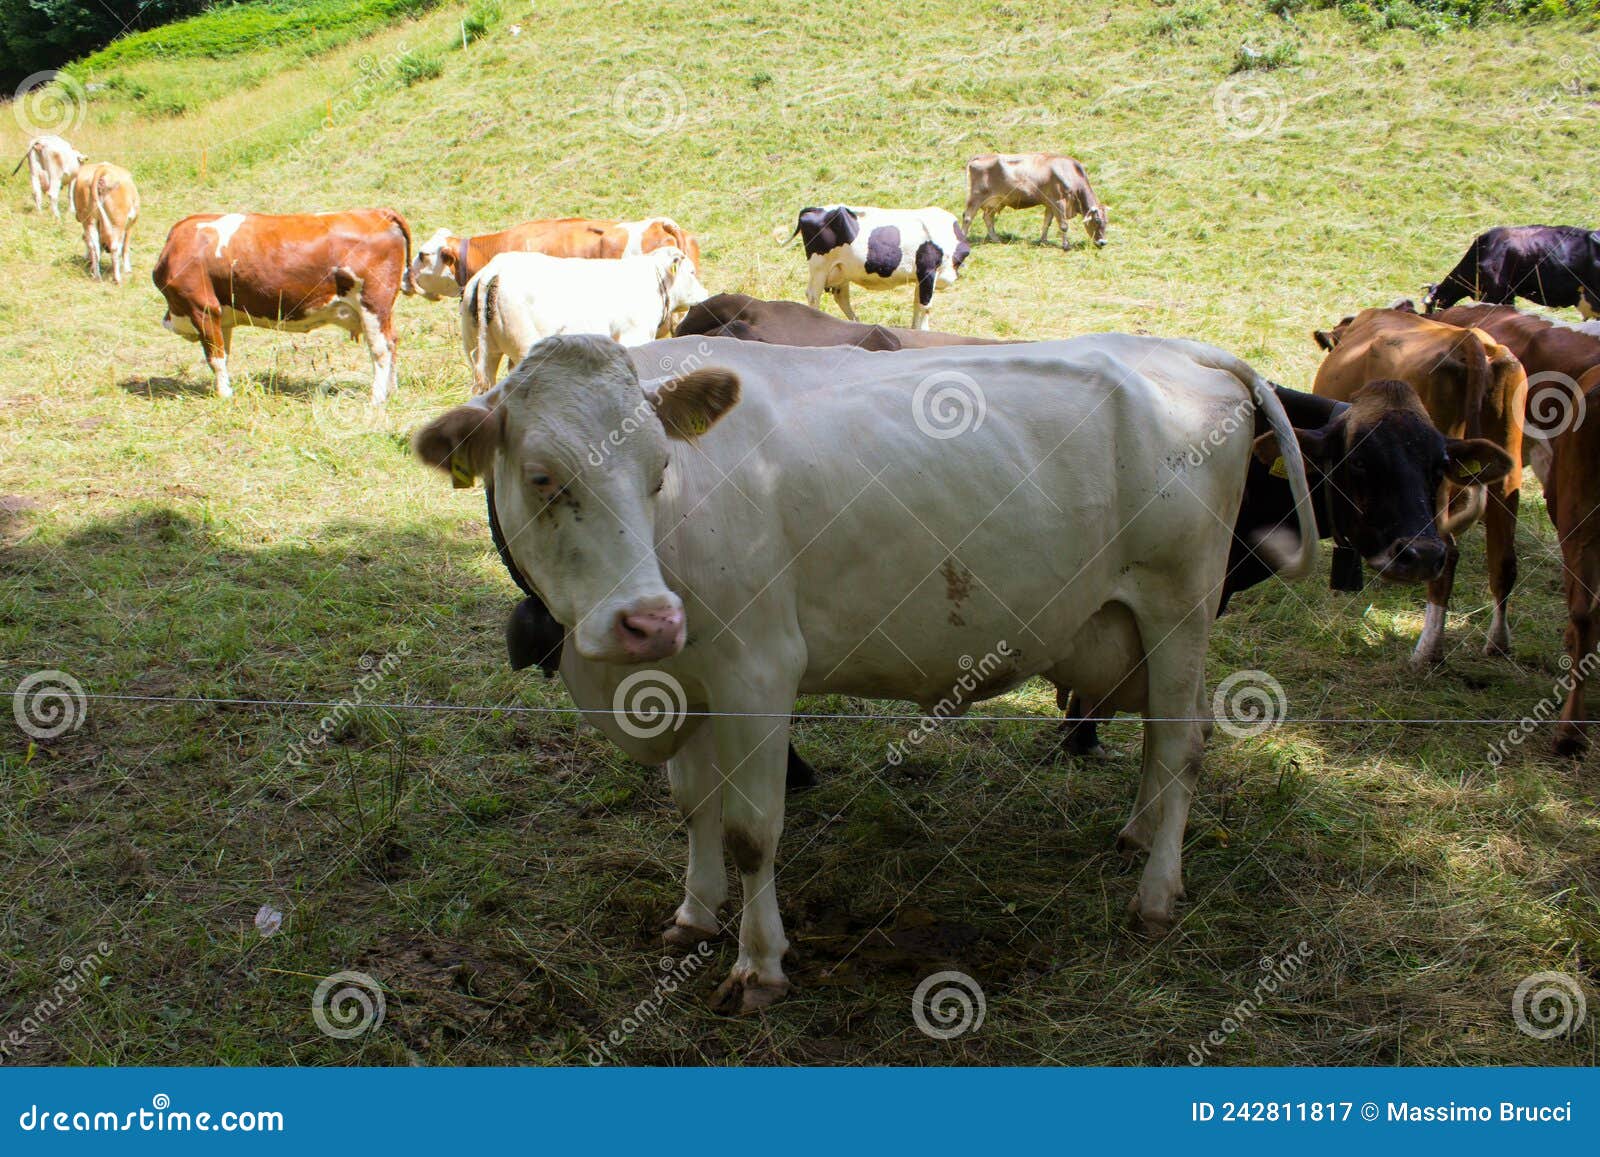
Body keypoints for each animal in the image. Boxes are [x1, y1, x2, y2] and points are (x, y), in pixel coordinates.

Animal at [151, 209, 412, 402]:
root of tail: (377, 212)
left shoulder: (203, 308)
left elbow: (215, 358)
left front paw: (224, 395)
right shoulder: (221, 317)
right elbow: (224, 354)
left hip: (373, 303)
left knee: (380, 349)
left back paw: (377, 397)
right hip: (381, 310)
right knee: (392, 342)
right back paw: (392, 390)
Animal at [415, 332, 1319, 1009]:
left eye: (657, 471)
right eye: (542, 475)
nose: (649, 619)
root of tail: (1185, 350)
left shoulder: (756, 669)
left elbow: (752, 831)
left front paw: (759, 964)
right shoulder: (685, 679)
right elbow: (693, 806)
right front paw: (694, 914)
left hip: (1180, 607)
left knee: (1182, 746)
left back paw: (1157, 892)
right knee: (1169, 741)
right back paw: (1136, 832)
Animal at [778, 205, 970, 330]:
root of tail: (815, 209)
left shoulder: (920, 277)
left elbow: (917, 305)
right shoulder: (927, 270)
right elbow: (925, 307)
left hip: (841, 269)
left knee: (842, 298)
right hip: (820, 267)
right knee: (813, 296)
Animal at [962, 152, 1108, 249]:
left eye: (1107, 221)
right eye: (1097, 221)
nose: (1103, 242)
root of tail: (981, 156)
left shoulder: (1050, 203)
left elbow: (1047, 222)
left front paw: (1043, 241)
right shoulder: (1058, 201)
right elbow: (1063, 225)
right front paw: (1066, 246)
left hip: (995, 201)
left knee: (987, 217)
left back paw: (996, 239)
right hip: (976, 196)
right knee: (968, 217)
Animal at [1311, 308, 1528, 665]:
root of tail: (1470, 341)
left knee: (1448, 554)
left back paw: (1427, 649)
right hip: (1507, 475)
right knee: (1504, 560)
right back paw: (1498, 642)